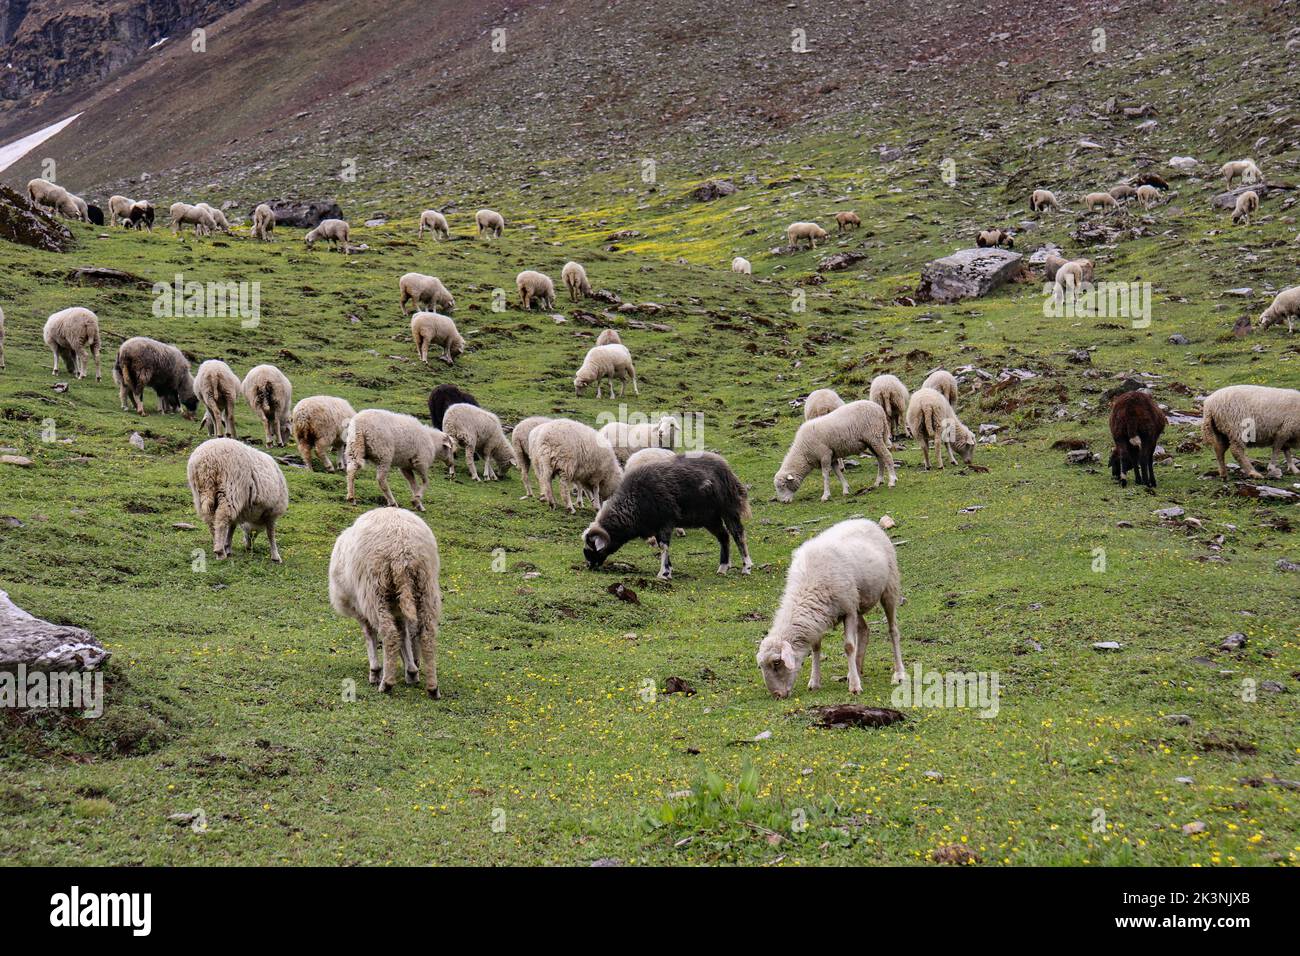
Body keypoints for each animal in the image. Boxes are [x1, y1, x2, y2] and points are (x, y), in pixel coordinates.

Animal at [329, 507, 442, 696]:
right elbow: (404, 635)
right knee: (427, 635)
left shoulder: (360, 609)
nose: (417, 663)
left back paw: (386, 683)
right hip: (426, 587)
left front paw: (375, 671)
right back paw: (433, 688)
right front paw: (411, 671)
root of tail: (402, 550)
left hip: (375, 591)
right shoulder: (399, 611)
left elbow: (370, 634)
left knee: (389, 634)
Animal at [582, 452, 751, 579]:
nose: (589, 565)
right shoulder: (656, 526)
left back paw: (746, 567)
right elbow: (661, 546)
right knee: (724, 537)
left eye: (593, 546)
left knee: (738, 534)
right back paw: (723, 567)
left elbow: (664, 546)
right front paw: (668, 569)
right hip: (710, 518)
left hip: (728, 509)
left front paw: (663, 573)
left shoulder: (666, 522)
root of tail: (726, 466)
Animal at [756, 518, 903, 698]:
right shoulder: (819, 616)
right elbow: (815, 647)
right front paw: (814, 682)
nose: (777, 695)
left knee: (893, 630)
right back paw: (856, 670)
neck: (807, 587)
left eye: (777, 662)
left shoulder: (848, 612)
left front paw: (855, 687)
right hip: (856, 601)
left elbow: (849, 647)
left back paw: (899, 674)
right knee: (864, 630)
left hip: (889, 588)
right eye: (761, 666)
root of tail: (865, 521)